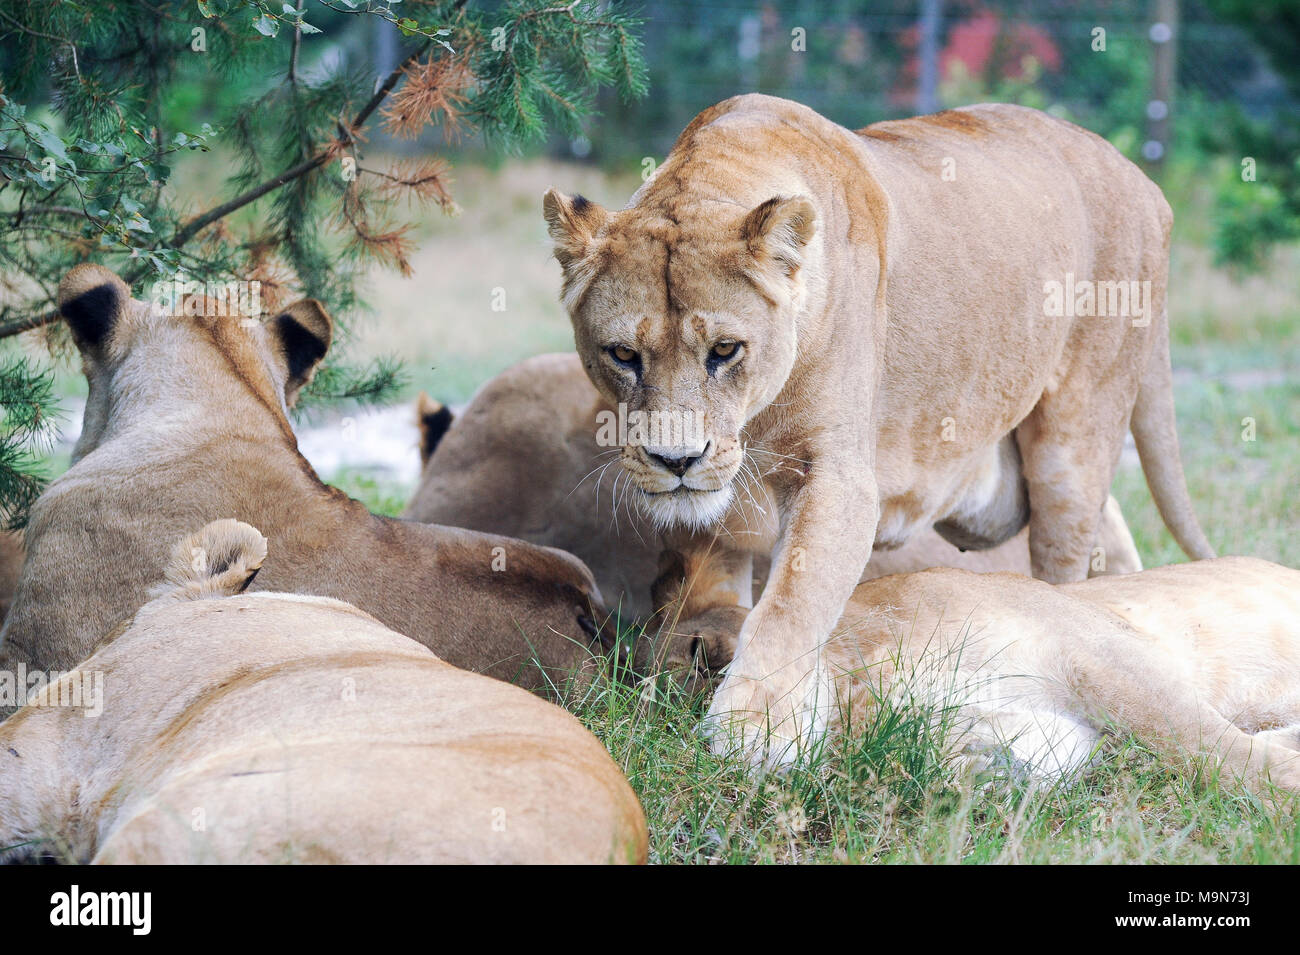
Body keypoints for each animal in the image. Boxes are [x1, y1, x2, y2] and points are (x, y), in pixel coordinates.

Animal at [542, 94, 1212, 762]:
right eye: (623, 355)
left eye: (725, 351)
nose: (676, 462)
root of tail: (1142, 181)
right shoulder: (718, 516)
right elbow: (719, 592)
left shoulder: (839, 481)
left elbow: (792, 602)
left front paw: (751, 731)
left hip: (1072, 446)